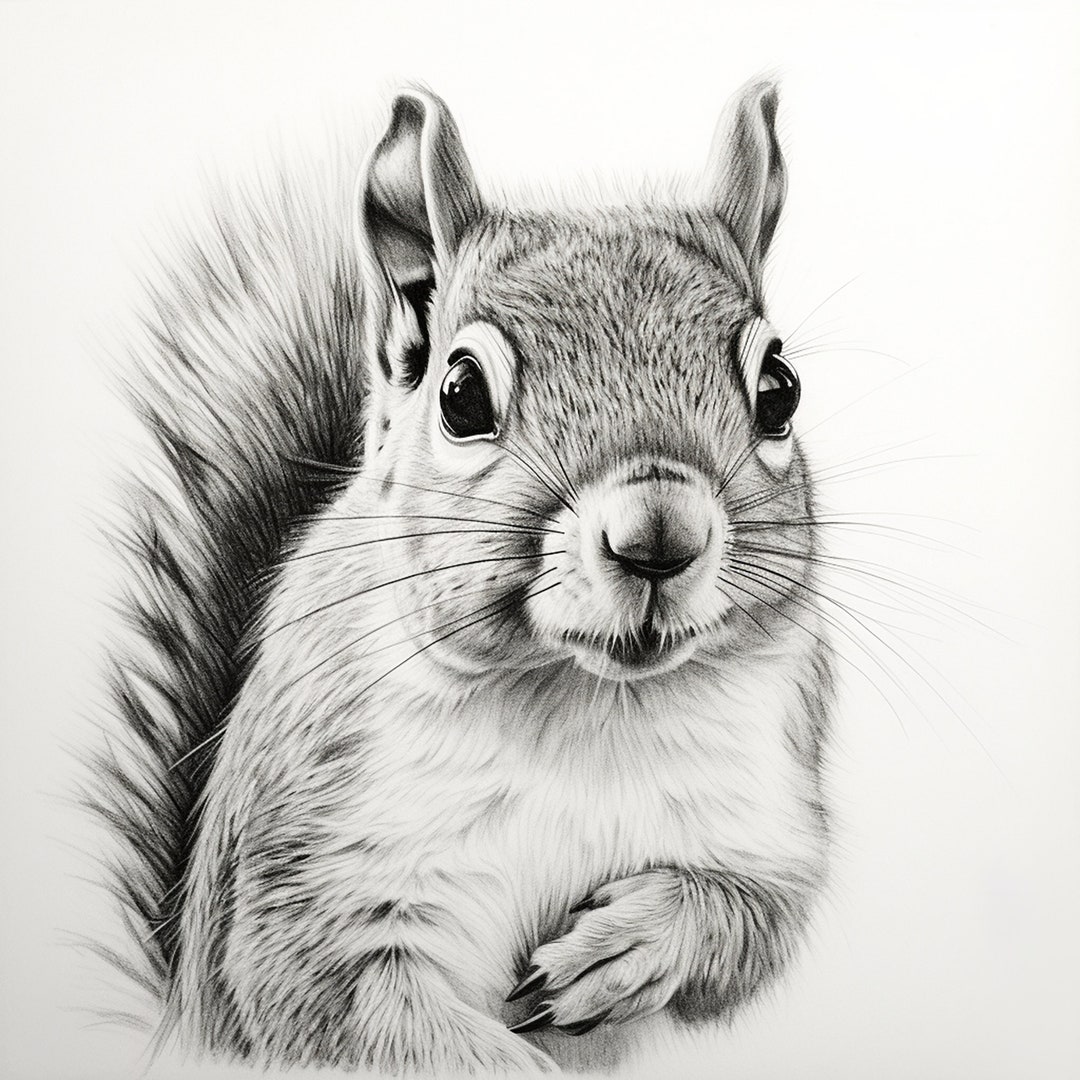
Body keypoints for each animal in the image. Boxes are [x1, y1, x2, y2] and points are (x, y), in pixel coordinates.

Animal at [91, 79, 834, 1074]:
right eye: (461, 394)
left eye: (780, 389)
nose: (658, 534)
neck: (584, 706)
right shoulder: (301, 901)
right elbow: (345, 1005)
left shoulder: (769, 825)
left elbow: (753, 918)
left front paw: (629, 947)